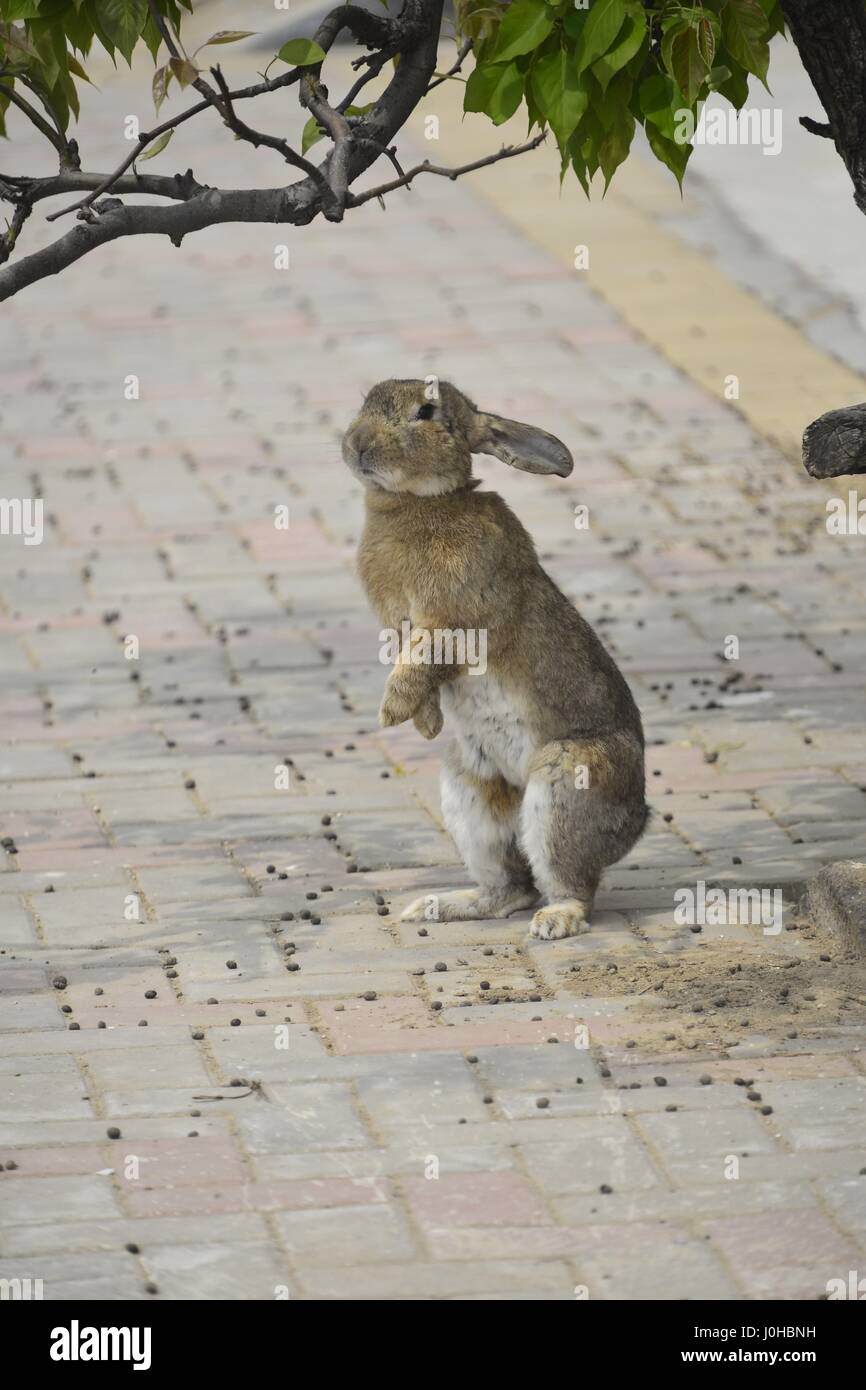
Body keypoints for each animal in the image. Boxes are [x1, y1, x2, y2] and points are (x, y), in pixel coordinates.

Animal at [342, 378, 648, 939]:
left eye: (426, 411)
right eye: (367, 400)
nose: (356, 446)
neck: (422, 501)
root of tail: (639, 821)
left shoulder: (450, 623)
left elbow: (420, 664)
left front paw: (390, 712)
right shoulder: (400, 626)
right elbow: (417, 673)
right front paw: (424, 724)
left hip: (565, 780)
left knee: (570, 884)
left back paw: (555, 922)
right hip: (469, 786)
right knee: (510, 887)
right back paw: (438, 907)